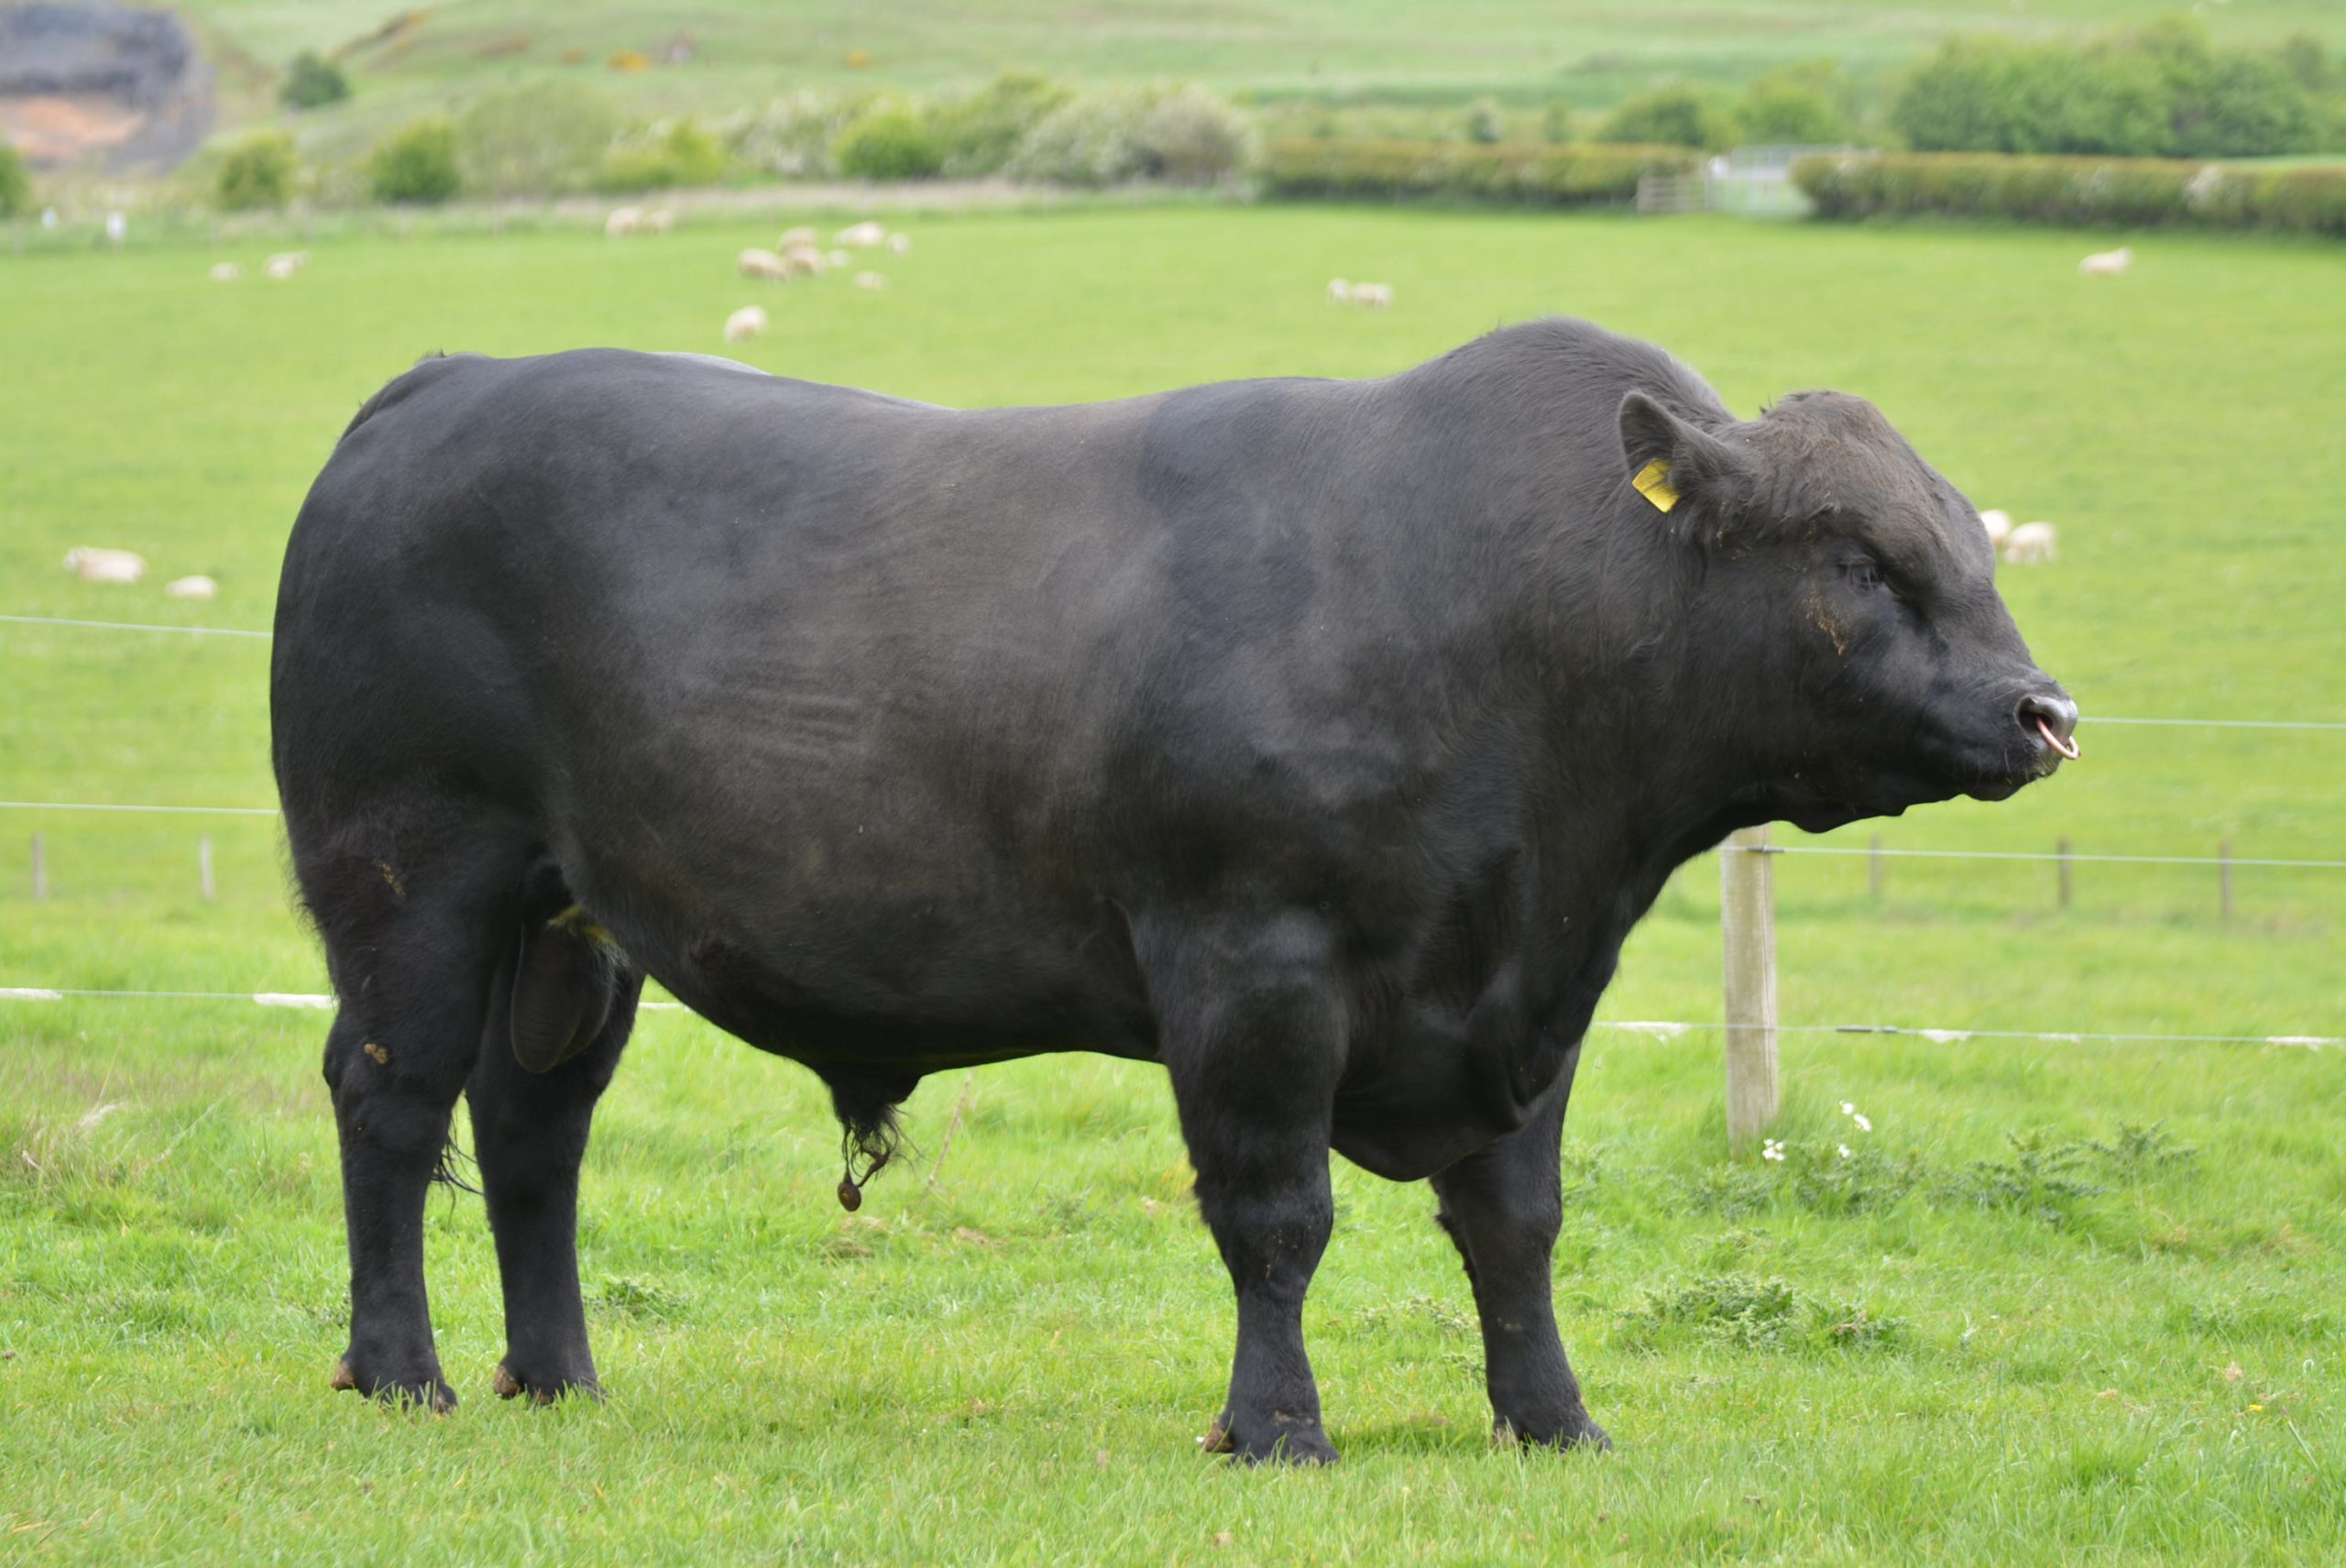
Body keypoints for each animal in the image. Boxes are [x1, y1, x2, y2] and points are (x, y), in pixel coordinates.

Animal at [271, 319, 2077, 1461]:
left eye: (1960, 538)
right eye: (1855, 558)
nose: (2044, 711)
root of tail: (447, 382)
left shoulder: (1530, 998)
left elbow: (1516, 1223)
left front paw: (1554, 1419)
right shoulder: (1251, 966)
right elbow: (1277, 1215)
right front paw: (1277, 1425)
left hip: (571, 922)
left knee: (532, 1130)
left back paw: (558, 1377)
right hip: (413, 875)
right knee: (390, 1100)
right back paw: (404, 1373)